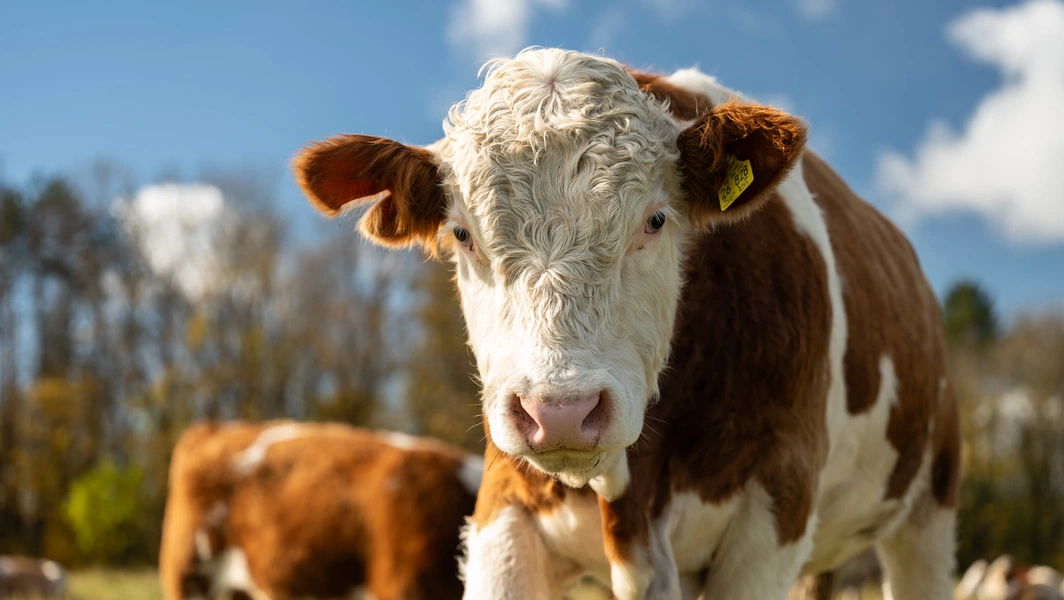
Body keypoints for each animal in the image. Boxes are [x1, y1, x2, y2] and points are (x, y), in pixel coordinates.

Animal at [292, 48, 960, 600]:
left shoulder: (777, 505)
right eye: (461, 233)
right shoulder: (503, 510)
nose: (560, 410)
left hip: (929, 512)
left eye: (656, 220)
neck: (631, 491)